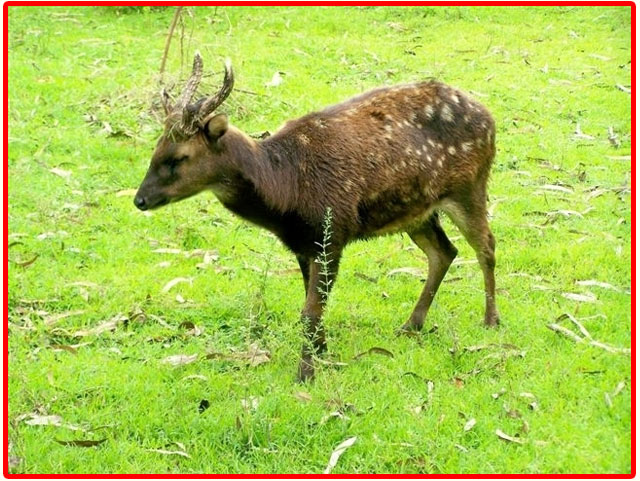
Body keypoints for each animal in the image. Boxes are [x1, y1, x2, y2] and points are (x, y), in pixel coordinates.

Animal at [134, 53, 500, 382]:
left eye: (180, 157)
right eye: (156, 148)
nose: (140, 200)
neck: (287, 189)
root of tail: (490, 118)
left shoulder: (332, 231)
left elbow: (310, 310)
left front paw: (306, 372)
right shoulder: (301, 243)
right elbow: (311, 303)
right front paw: (321, 352)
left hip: (469, 186)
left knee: (486, 246)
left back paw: (490, 320)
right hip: (416, 211)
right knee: (444, 251)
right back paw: (412, 325)